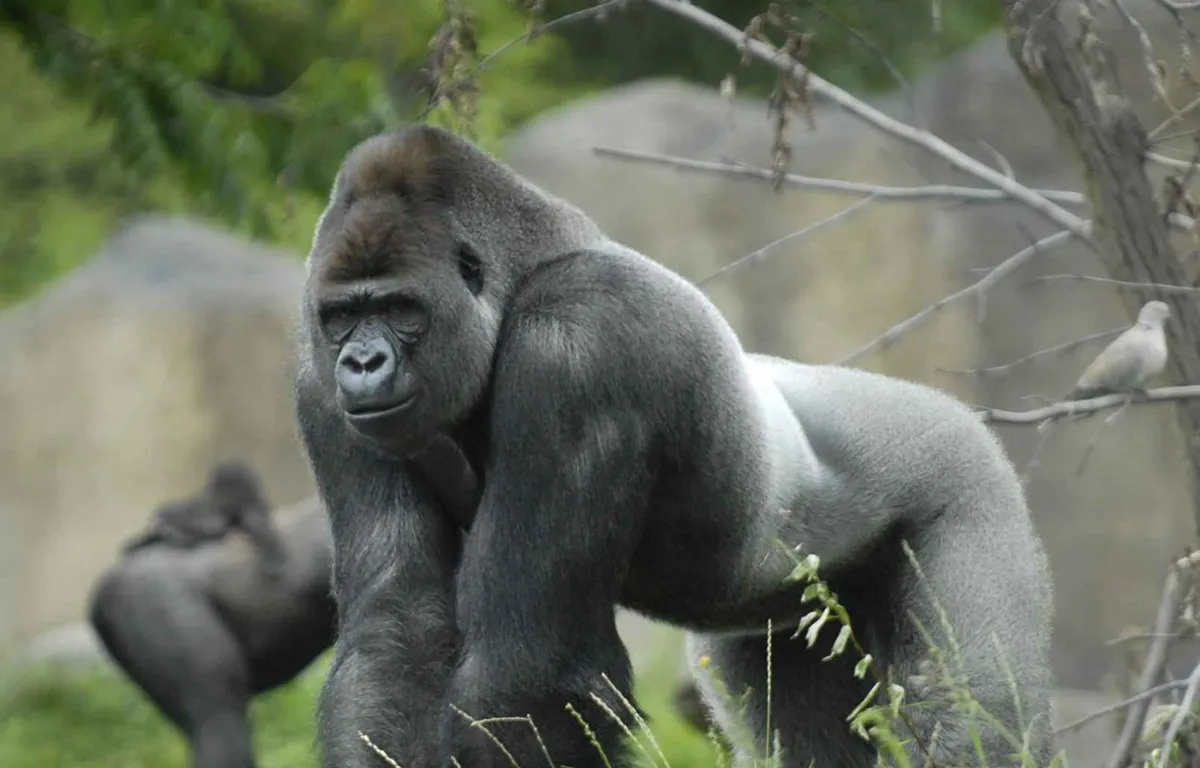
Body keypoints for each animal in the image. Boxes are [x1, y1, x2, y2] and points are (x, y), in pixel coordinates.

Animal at [292, 124, 1055, 768]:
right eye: (342, 316)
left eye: (399, 309)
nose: (361, 363)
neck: (524, 274)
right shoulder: (319, 387)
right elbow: (396, 633)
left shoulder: (579, 345)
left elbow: (526, 674)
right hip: (791, 613)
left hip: (966, 477)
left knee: (974, 720)